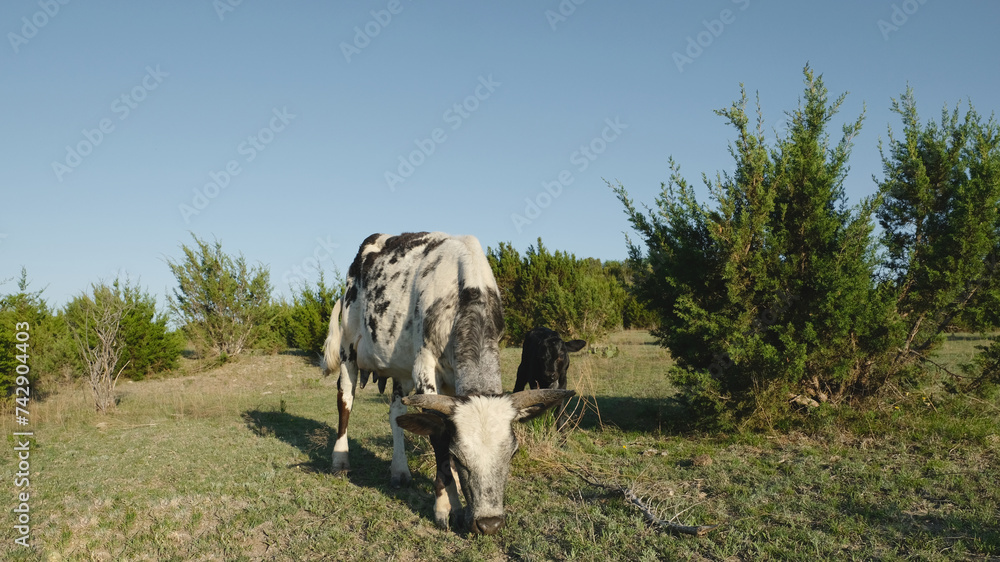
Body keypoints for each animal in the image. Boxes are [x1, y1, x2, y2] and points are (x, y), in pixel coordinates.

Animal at [321, 232, 573, 535]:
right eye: (459, 456)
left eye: (512, 454)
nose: (489, 523)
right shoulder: (424, 367)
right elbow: (438, 435)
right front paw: (446, 505)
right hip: (349, 348)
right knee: (345, 400)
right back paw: (340, 460)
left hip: (401, 368)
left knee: (397, 413)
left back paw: (400, 470)